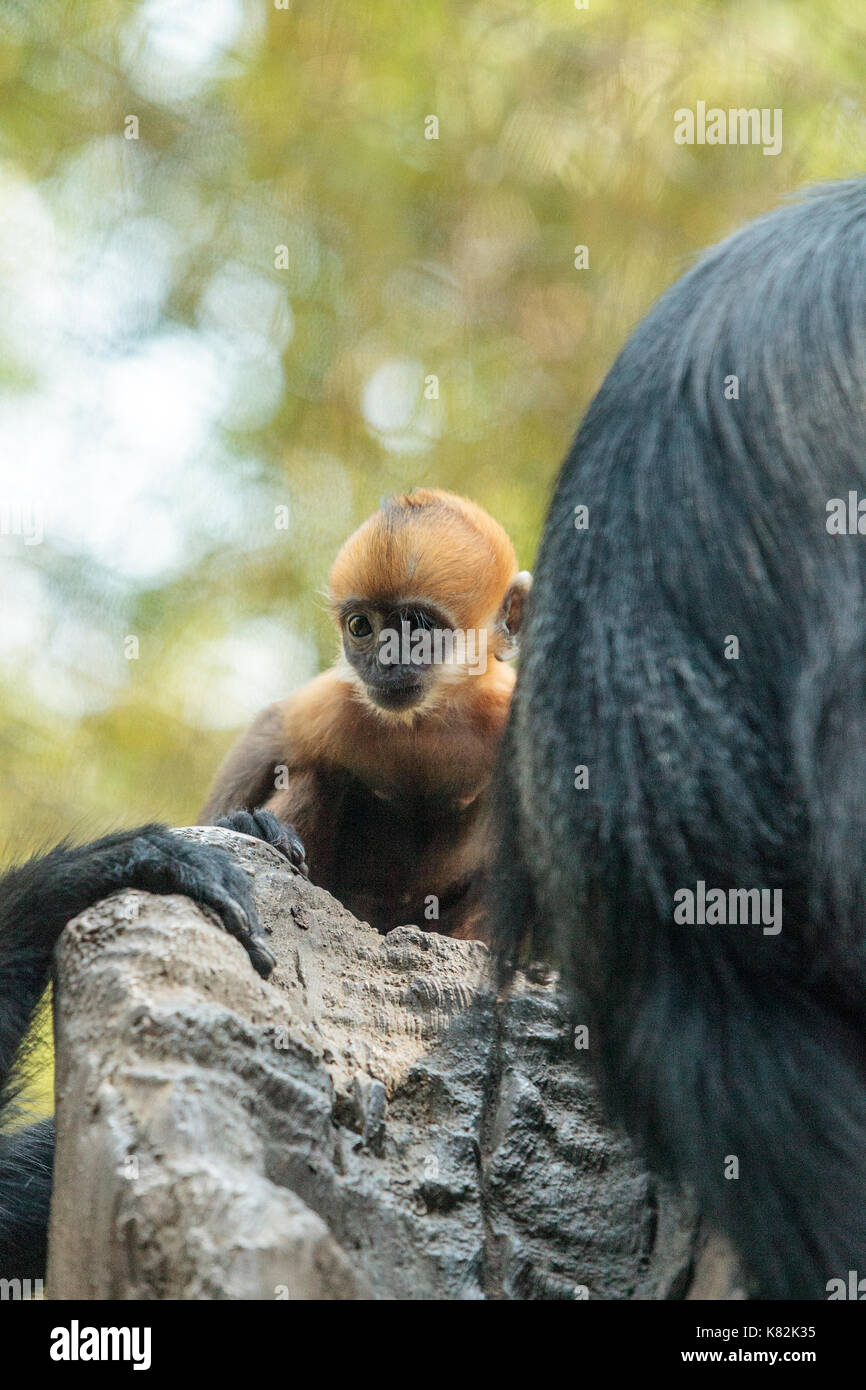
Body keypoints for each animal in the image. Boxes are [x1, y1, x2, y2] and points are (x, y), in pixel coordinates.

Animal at [200, 490, 530, 942]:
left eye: (417, 628)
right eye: (361, 626)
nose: (385, 661)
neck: (425, 719)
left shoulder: (507, 713)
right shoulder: (337, 705)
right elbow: (270, 731)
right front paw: (242, 826)